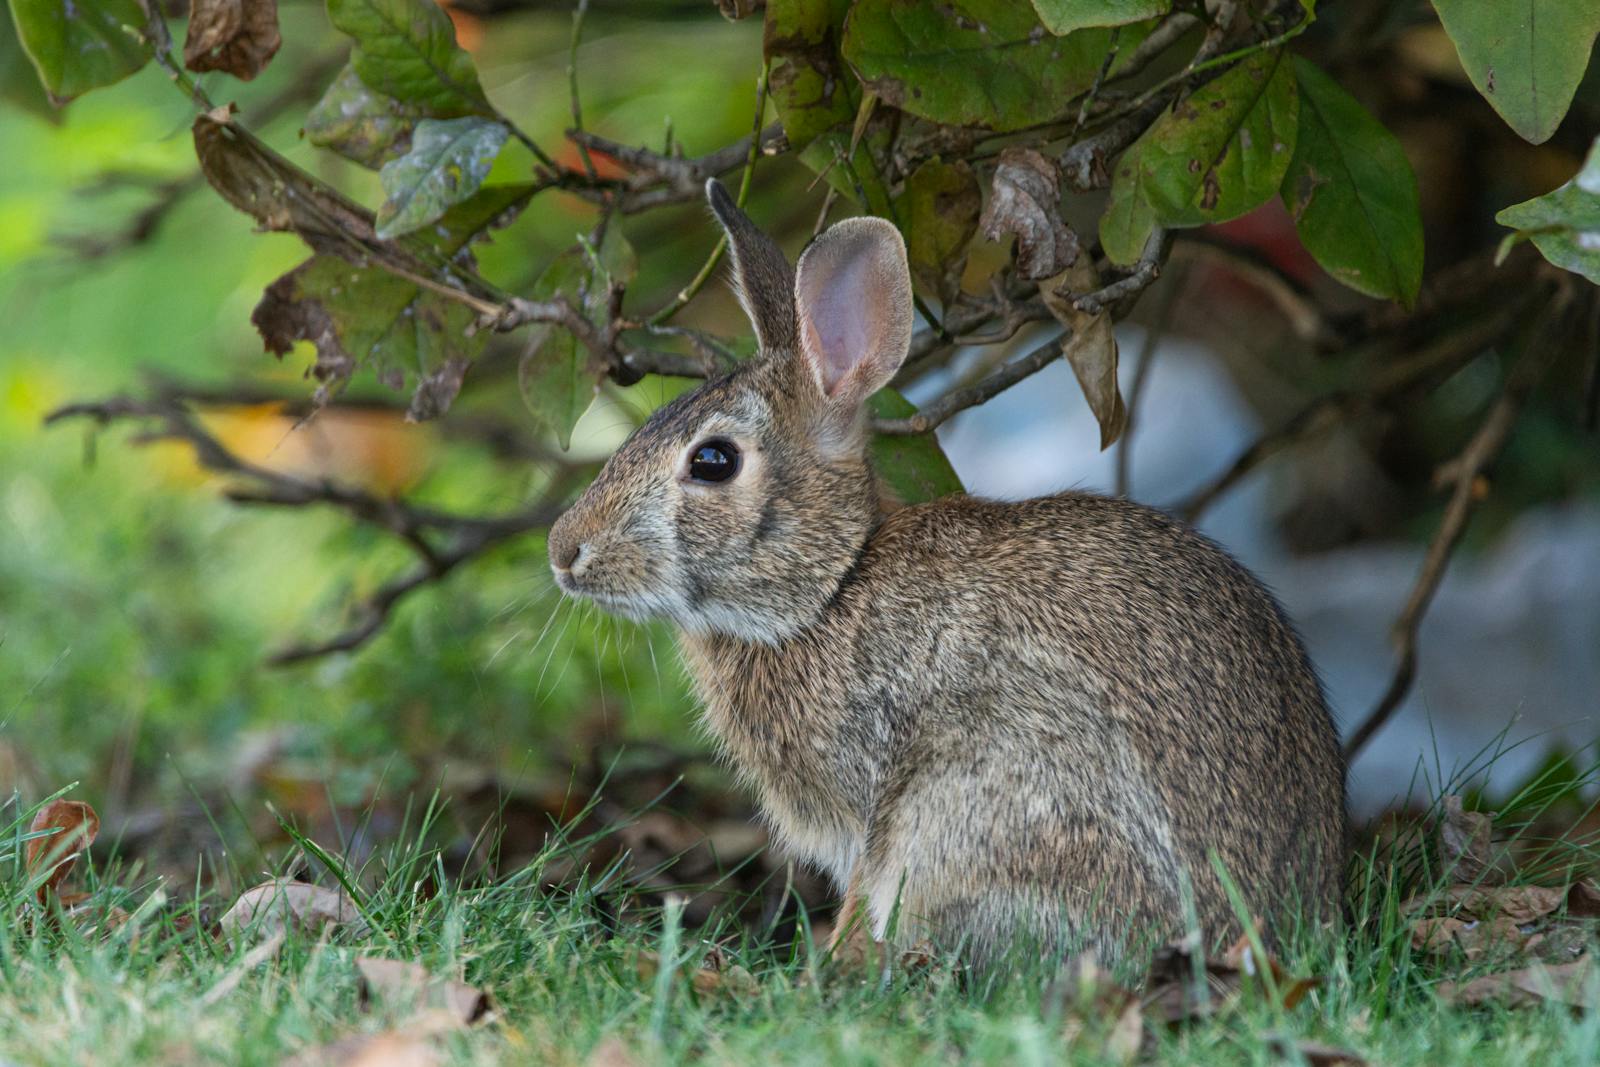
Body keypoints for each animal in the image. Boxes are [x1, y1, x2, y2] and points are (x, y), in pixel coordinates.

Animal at [547, 178, 1348, 967]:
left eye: (713, 461)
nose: (563, 551)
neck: (831, 587)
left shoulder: (874, 798)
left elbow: (862, 885)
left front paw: (831, 961)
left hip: (979, 801)